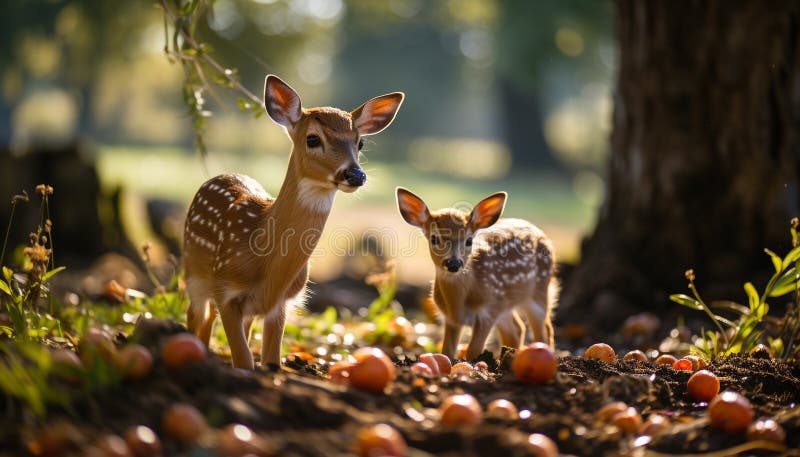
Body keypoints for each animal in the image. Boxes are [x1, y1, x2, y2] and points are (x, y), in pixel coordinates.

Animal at [183, 75, 404, 369]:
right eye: (312, 138)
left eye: (360, 144)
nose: (355, 175)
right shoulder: (225, 289)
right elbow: (244, 361)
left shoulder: (282, 303)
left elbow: (271, 361)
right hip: (193, 274)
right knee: (195, 313)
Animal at [396, 188, 558, 360]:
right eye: (434, 238)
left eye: (468, 240)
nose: (453, 264)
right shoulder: (451, 319)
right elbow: (447, 351)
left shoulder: (489, 310)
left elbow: (473, 351)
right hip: (506, 304)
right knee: (517, 328)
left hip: (539, 290)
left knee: (544, 328)